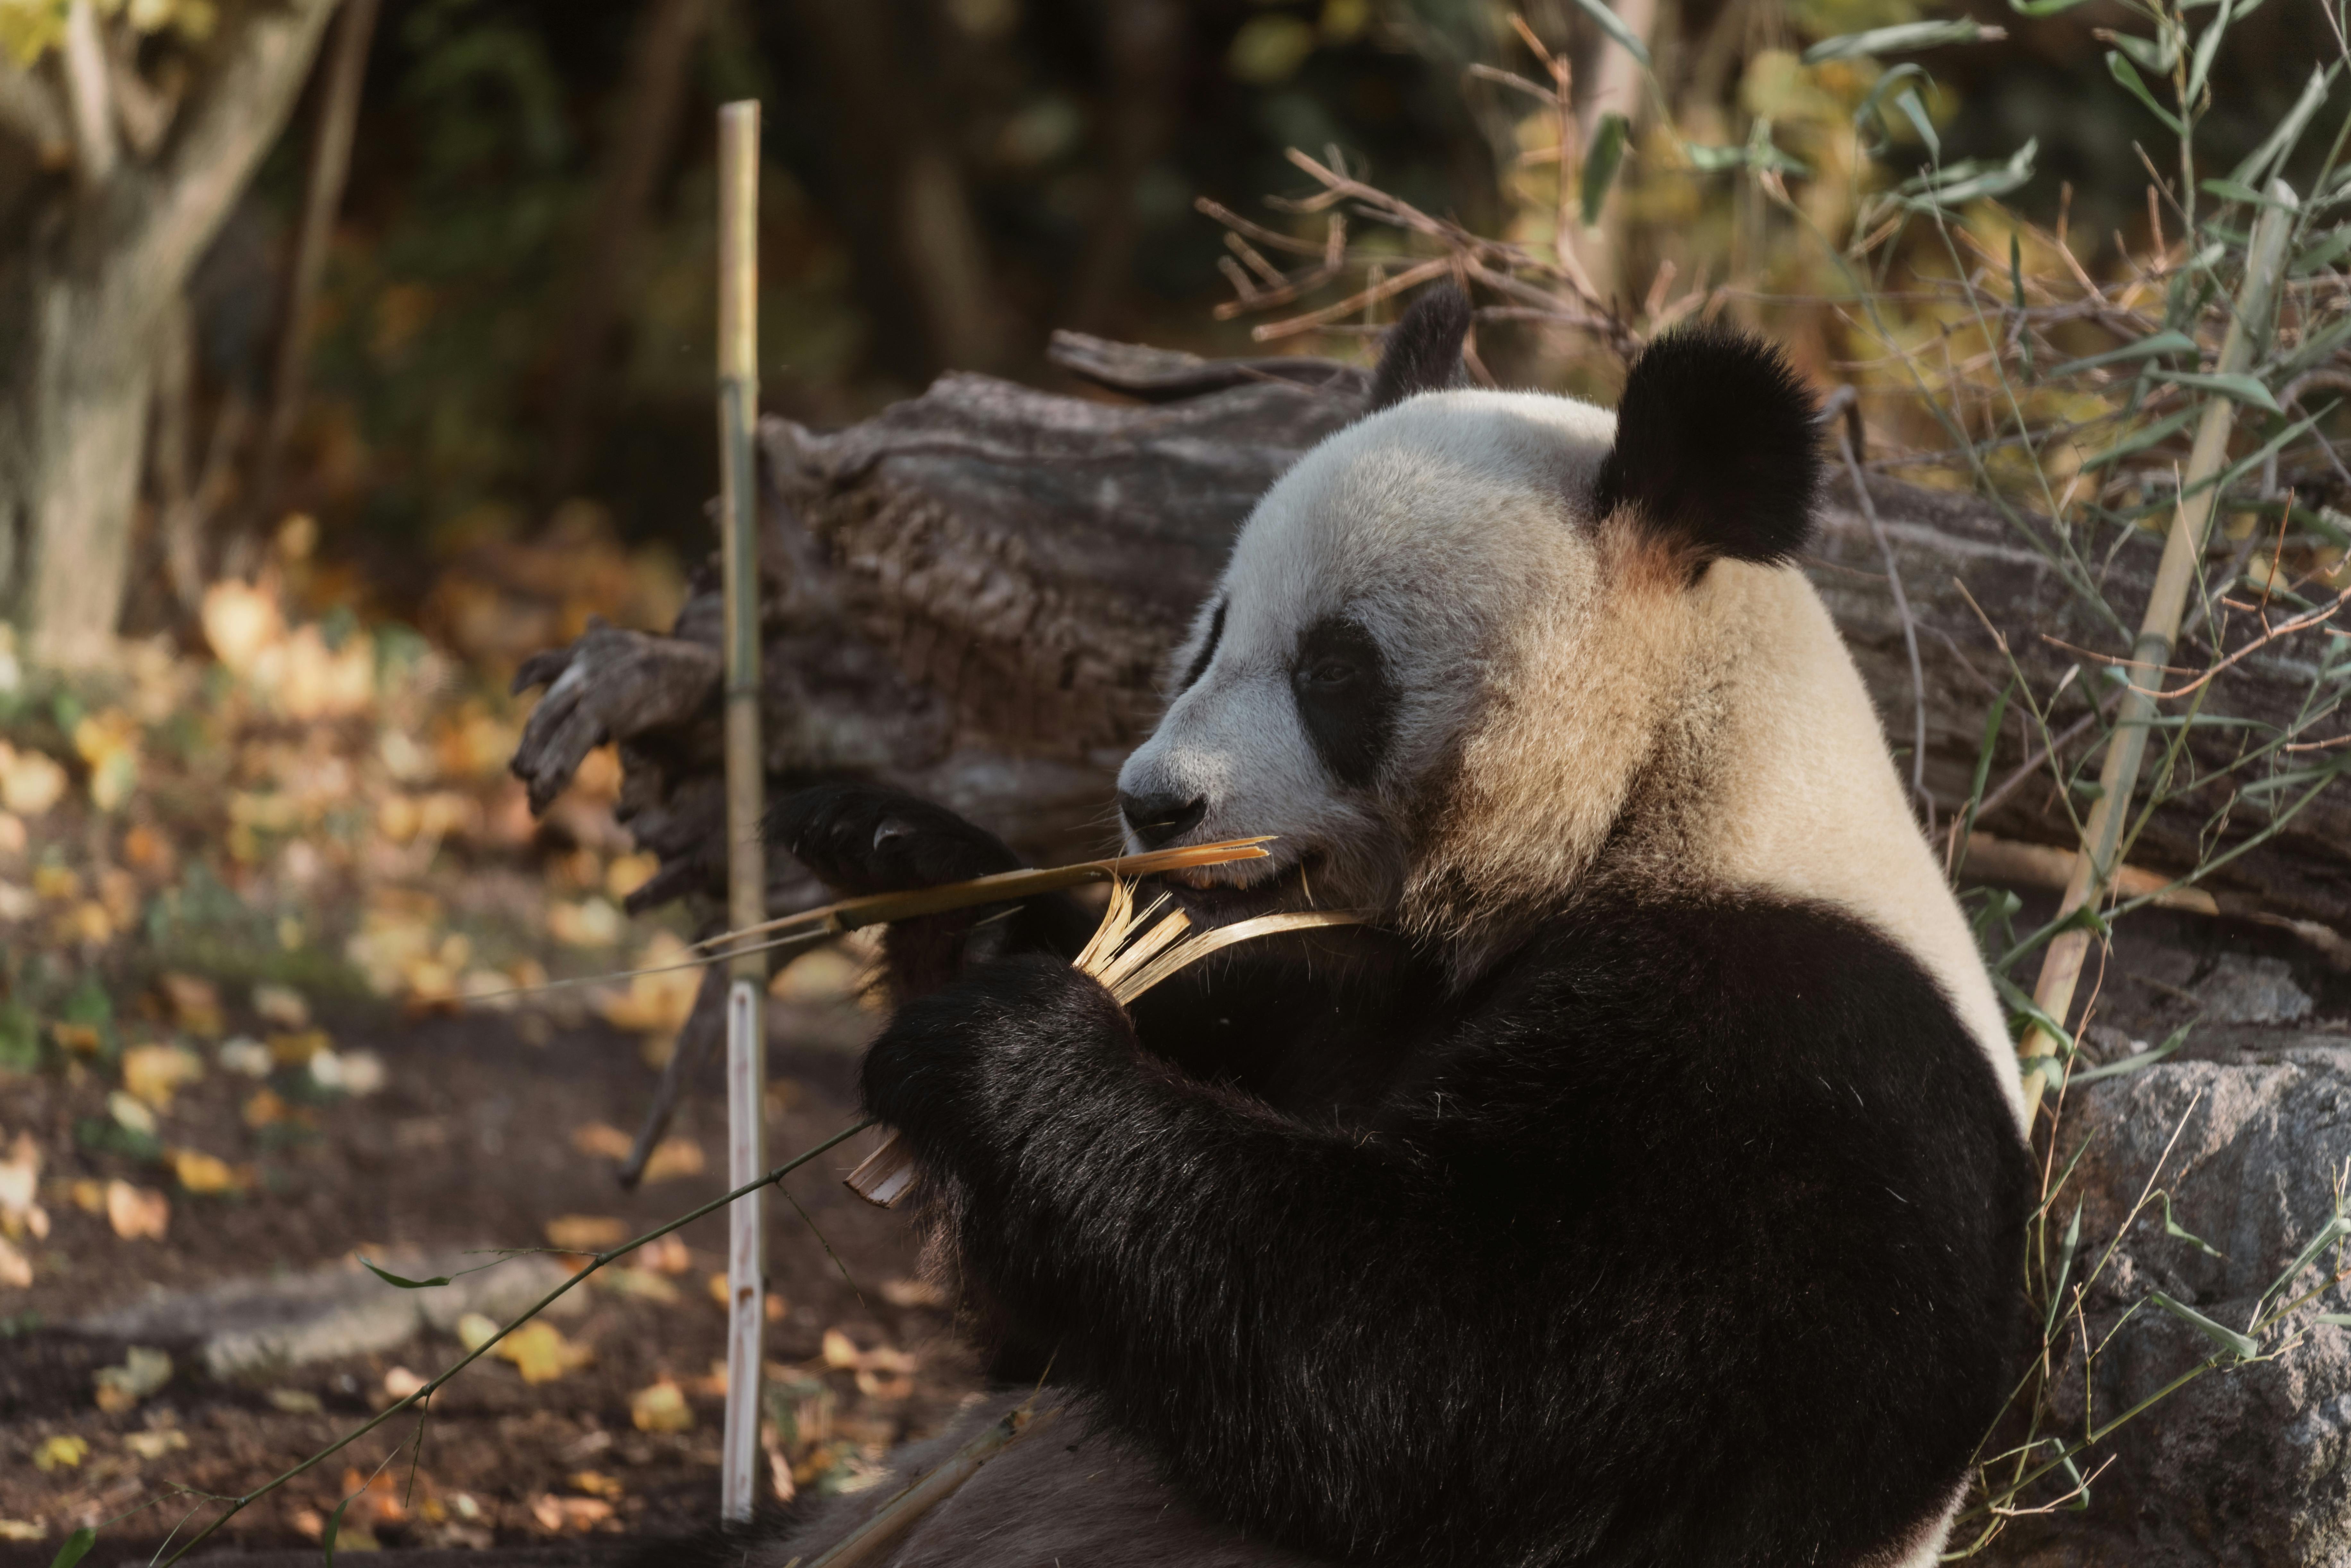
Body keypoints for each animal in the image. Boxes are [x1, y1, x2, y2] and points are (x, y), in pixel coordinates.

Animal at [733, 287, 2033, 1568]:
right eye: (1210, 635)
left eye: (1334, 671)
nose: (1155, 803)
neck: (1669, 785)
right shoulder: (1350, 993)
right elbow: (1047, 1344)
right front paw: (907, 860)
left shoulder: (1789, 1067)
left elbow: (1452, 1365)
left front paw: (1002, 1049)